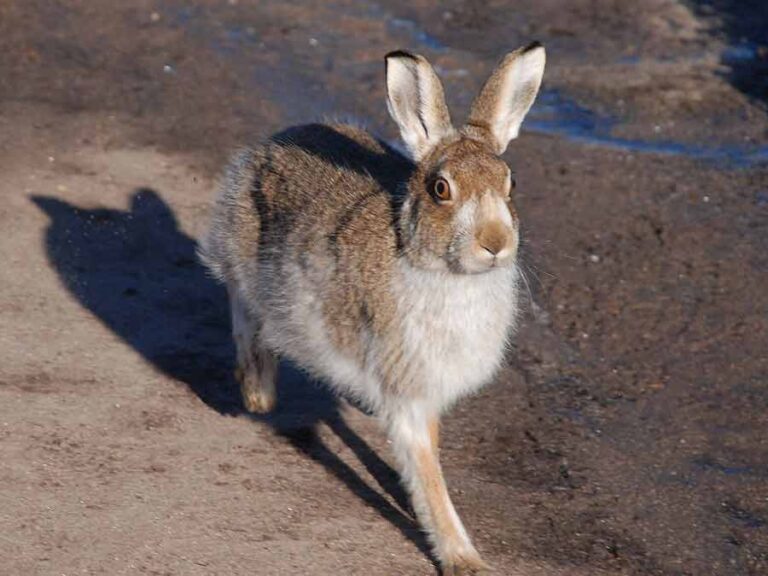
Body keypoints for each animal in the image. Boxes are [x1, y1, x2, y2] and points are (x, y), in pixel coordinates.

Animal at [198, 42, 546, 574]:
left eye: (511, 185)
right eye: (440, 189)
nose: (494, 243)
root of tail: (269, 145)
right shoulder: (406, 390)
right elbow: (427, 472)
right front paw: (463, 557)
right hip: (245, 256)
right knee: (243, 308)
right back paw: (258, 392)